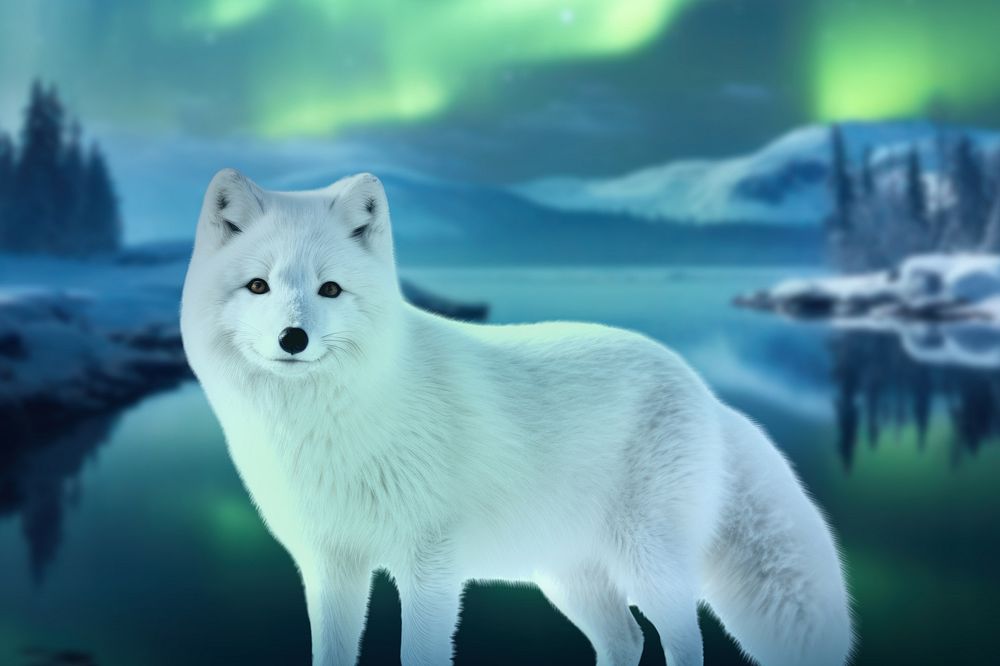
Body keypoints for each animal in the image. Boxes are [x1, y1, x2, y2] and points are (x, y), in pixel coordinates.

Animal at [180, 169, 853, 666]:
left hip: (649, 564)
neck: (328, 427)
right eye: (259, 287)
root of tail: (706, 392)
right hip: (568, 576)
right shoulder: (328, 566)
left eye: (330, 290)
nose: (293, 339)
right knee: (627, 639)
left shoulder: (430, 565)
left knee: (686, 642)